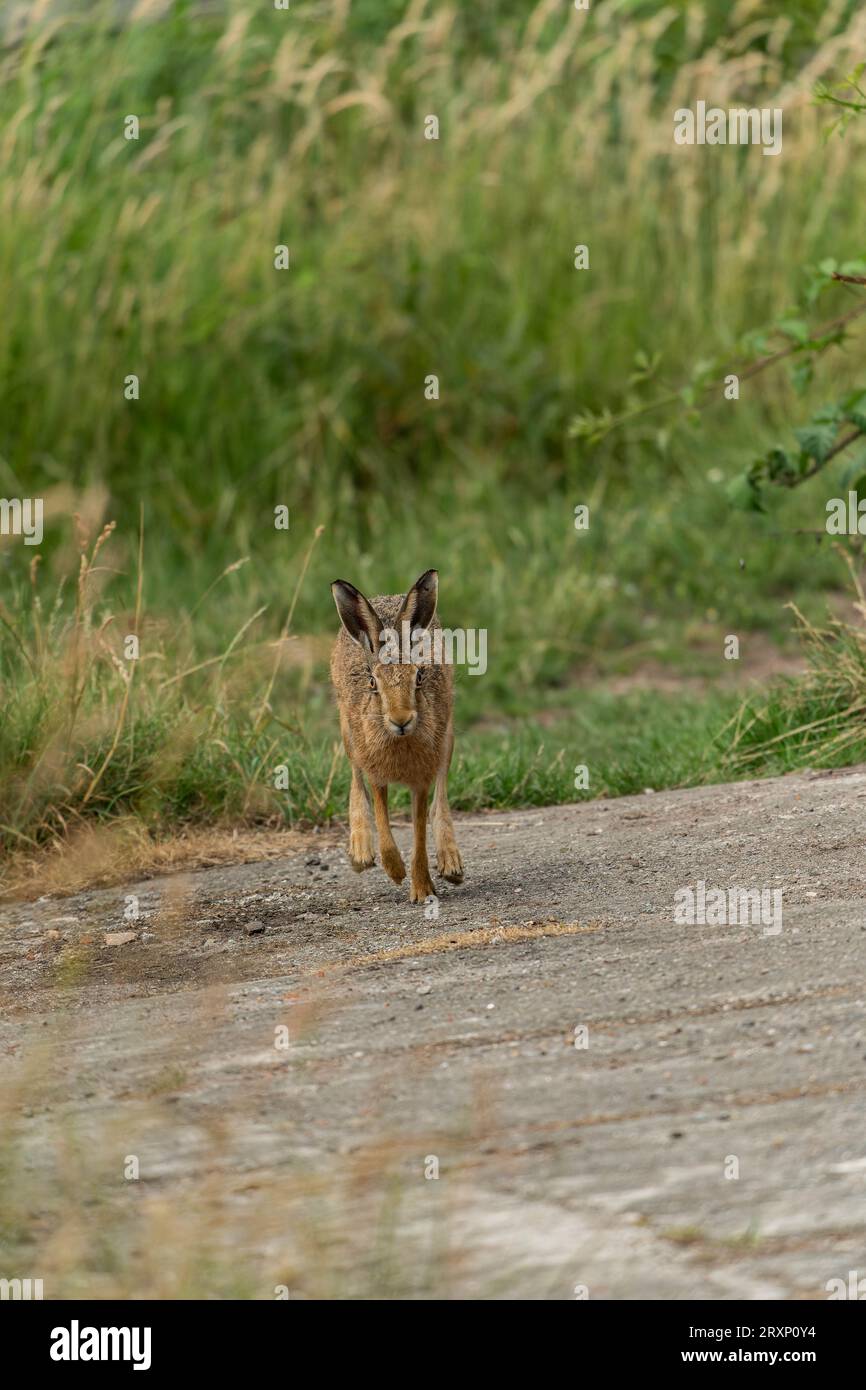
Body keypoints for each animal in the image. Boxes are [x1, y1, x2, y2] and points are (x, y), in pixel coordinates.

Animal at [330, 568, 464, 903]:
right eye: (372, 682)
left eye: (419, 676)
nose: (401, 720)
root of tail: (386, 598)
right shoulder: (376, 773)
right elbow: (383, 822)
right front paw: (395, 871)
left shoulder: (421, 780)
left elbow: (418, 834)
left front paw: (422, 889)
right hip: (348, 734)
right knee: (356, 781)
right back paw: (360, 852)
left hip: (447, 737)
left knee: (441, 799)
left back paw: (451, 863)